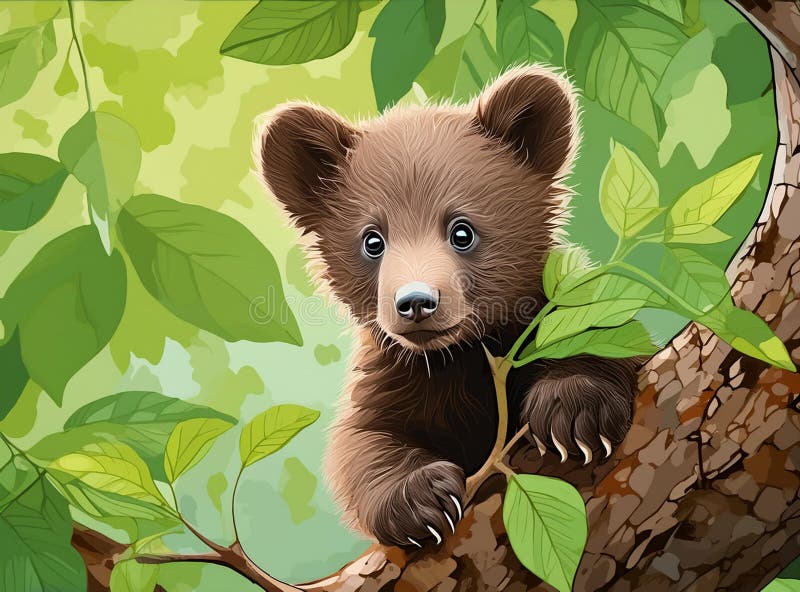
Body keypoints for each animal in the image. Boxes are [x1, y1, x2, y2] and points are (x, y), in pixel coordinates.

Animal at [258, 66, 639, 548]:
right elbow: (361, 441)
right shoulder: (393, 374)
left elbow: (599, 334)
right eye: (372, 240)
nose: (416, 302)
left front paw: (572, 412)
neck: (459, 356)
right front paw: (419, 499)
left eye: (462, 230)